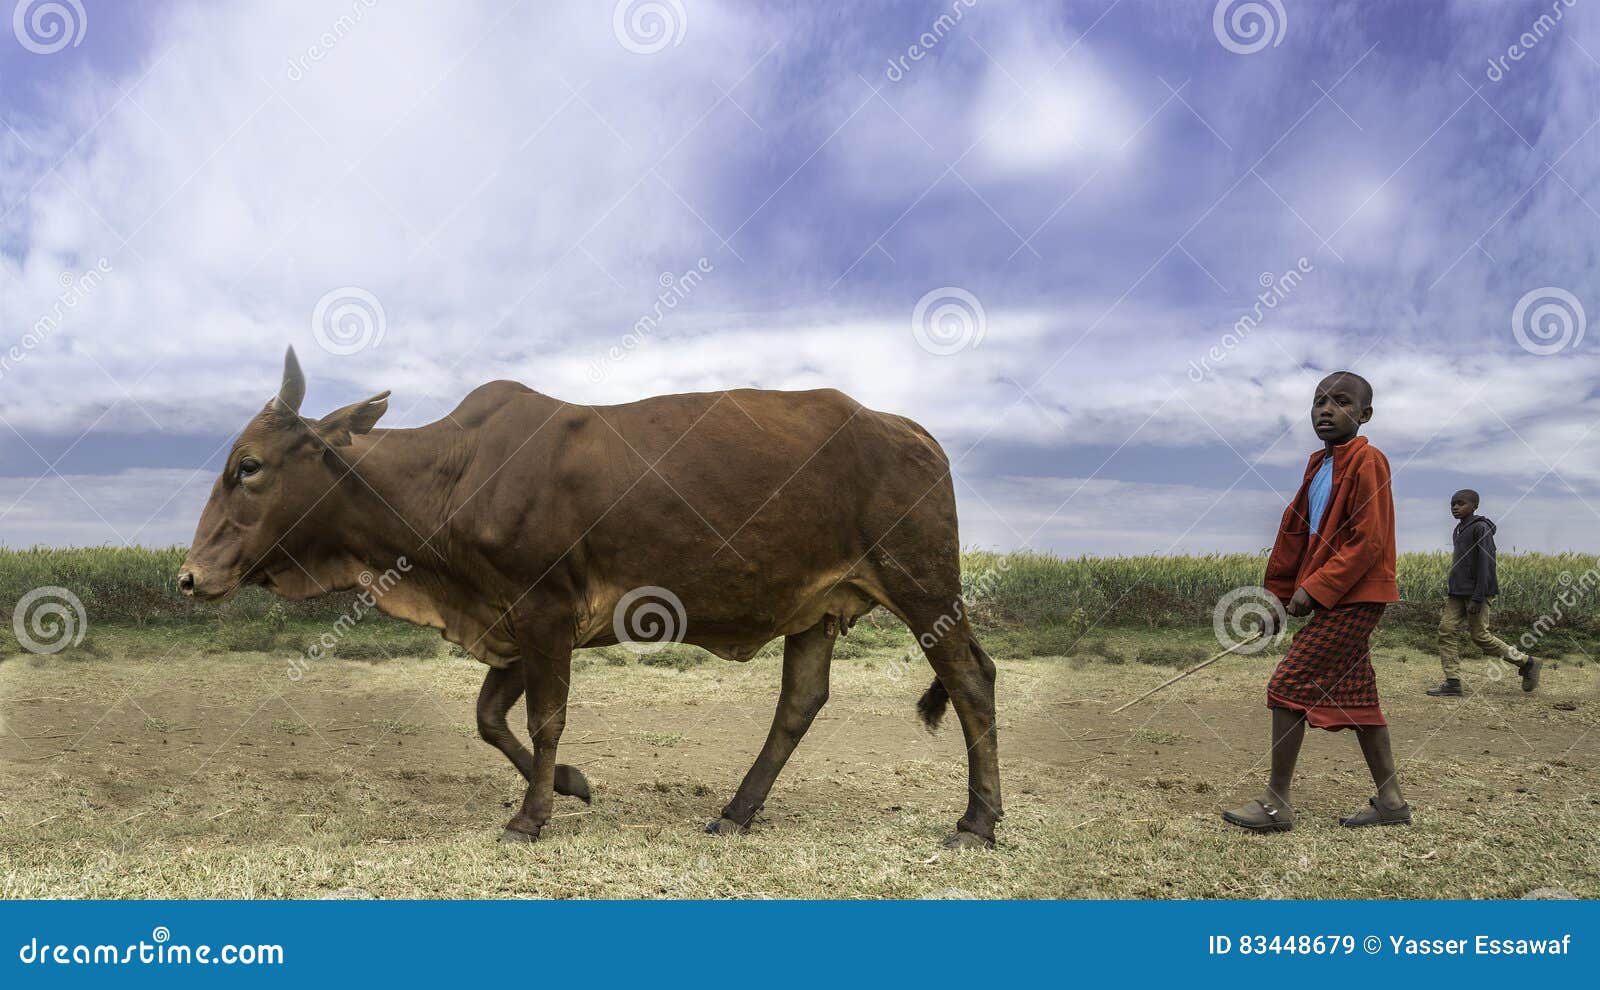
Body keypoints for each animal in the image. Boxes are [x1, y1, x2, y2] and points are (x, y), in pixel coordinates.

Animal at [179, 349, 1001, 849]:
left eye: (248, 466)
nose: (189, 577)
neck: (452, 472)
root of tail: (903, 425)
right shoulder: (511, 622)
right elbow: (488, 719)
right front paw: (572, 786)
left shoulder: (543, 611)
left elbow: (544, 720)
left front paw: (533, 815)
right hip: (818, 608)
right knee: (800, 702)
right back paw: (736, 812)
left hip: (923, 587)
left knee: (971, 679)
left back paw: (978, 821)